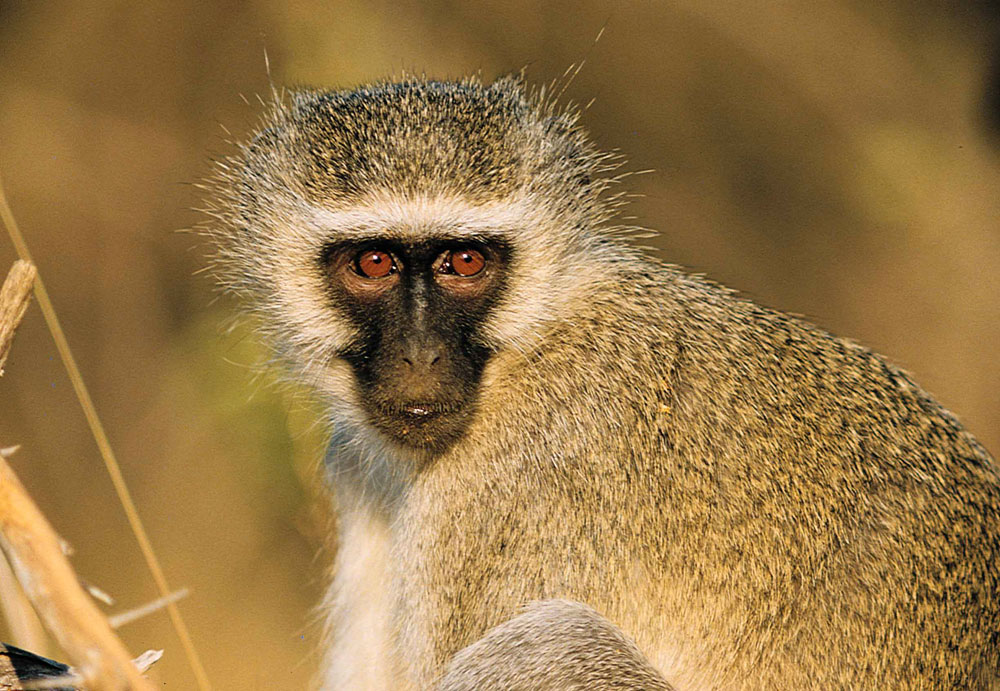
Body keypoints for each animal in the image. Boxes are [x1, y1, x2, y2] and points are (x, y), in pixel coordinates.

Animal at [204, 76, 1000, 689]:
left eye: (466, 261)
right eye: (374, 263)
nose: (421, 357)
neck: (532, 344)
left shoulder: (512, 487)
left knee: (552, 643)